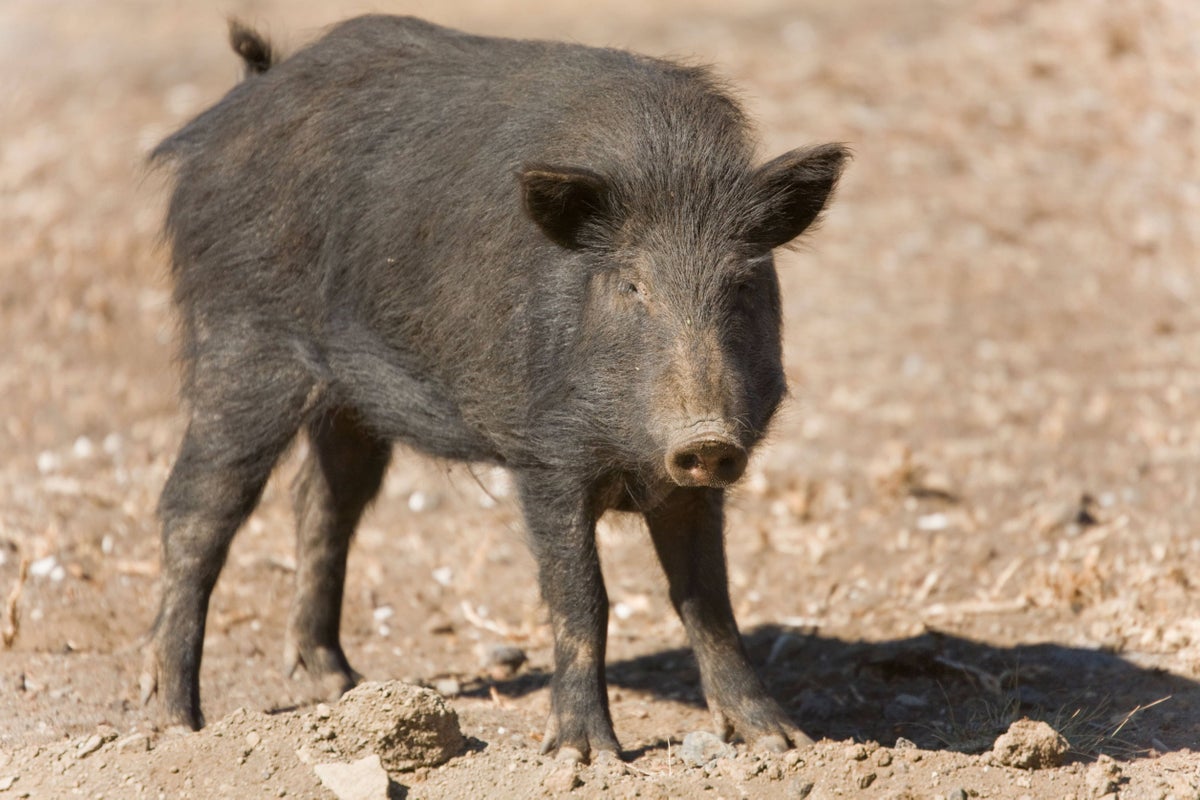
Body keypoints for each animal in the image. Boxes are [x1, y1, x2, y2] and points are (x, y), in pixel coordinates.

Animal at [142, 15, 847, 762]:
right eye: (632, 285)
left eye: (740, 283)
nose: (706, 437)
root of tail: (239, 105)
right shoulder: (543, 454)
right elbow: (582, 597)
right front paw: (586, 756)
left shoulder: (689, 482)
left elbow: (709, 599)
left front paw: (783, 741)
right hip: (242, 343)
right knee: (197, 509)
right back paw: (176, 722)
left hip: (351, 401)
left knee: (322, 504)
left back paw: (339, 685)